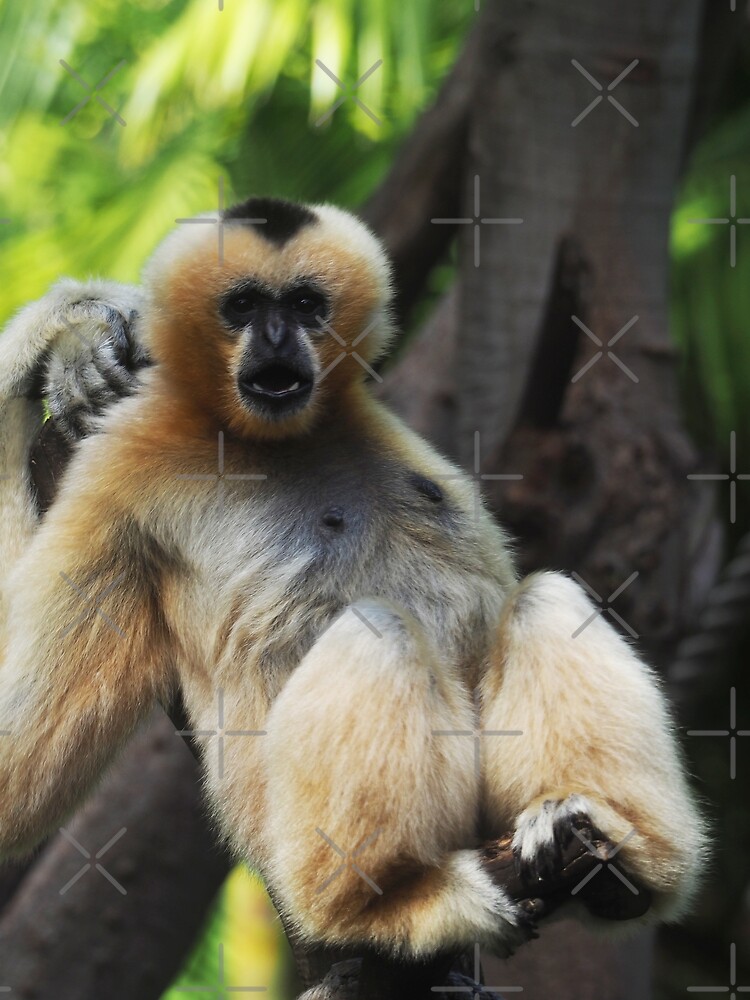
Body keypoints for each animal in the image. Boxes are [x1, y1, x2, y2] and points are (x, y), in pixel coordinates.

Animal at [0, 197, 706, 961]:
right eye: (243, 306)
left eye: (306, 304)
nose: (277, 340)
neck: (261, 437)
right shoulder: (113, 478)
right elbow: (23, 753)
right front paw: (59, 324)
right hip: (280, 838)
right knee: (379, 624)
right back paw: (386, 905)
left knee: (542, 597)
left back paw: (614, 859)